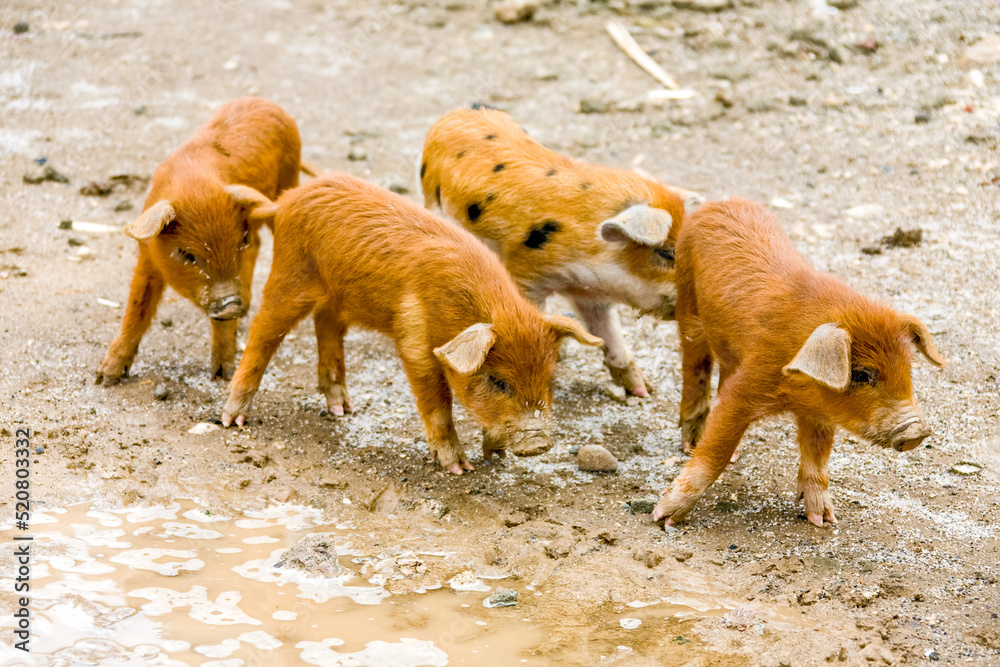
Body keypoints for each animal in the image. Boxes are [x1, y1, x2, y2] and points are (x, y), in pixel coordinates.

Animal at [96, 97, 315, 385]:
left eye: (239, 242)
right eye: (187, 254)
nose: (232, 305)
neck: (195, 188)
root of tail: (264, 101)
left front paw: (222, 375)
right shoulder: (147, 255)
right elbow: (136, 309)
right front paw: (104, 378)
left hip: (287, 178)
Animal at [220, 173, 602, 474]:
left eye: (549, 379)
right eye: (498, 381)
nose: (537, 443)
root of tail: (285, 201)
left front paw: (496, 455)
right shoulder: (415, 344)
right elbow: (438, 404)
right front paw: (460, 468)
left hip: (337, 297)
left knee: (325, 326)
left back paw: (343, 410)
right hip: (290, 277)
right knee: (262, 333)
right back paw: (231, 420)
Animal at [420, 105, 685, 398]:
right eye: (666, 253)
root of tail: (457, 112)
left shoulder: (593, 297)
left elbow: (610, 335)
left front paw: (643, 392)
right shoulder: (525, 276)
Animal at [652, 198, 945, 527]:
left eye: (907, 369)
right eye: (860, 374)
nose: (917, 431)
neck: (795, 392)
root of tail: (718, 203)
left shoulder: (821, 411)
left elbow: (817, 457)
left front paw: (824, 520)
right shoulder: (748, 385)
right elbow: (716, 449)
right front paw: (663, 517)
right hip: (688, 305)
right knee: (694, 368)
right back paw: (691, 445)